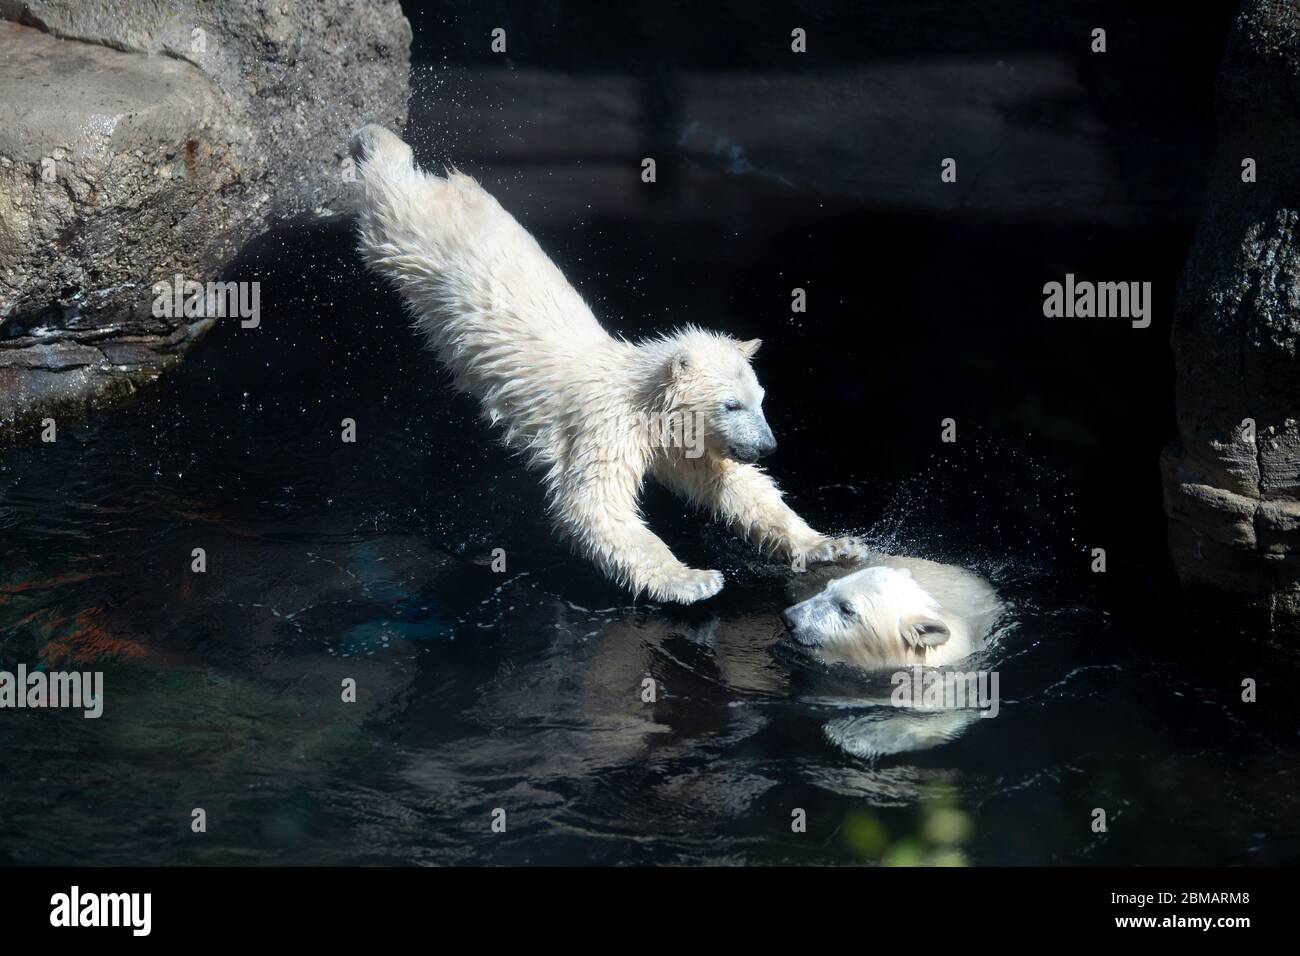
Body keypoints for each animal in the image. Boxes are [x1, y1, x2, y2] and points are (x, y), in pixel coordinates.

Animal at [348, 124, 865, 604]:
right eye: (730, 405)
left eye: (760, 399)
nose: (767, 446)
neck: (643, 396)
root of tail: (454, 187)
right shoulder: (606, 425)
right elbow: (593, 503)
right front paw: (694, 580)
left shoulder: (679, 439)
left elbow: (735, 487)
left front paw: (831, 544)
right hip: (419, 243)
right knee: (391, 205)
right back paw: (374, 139)